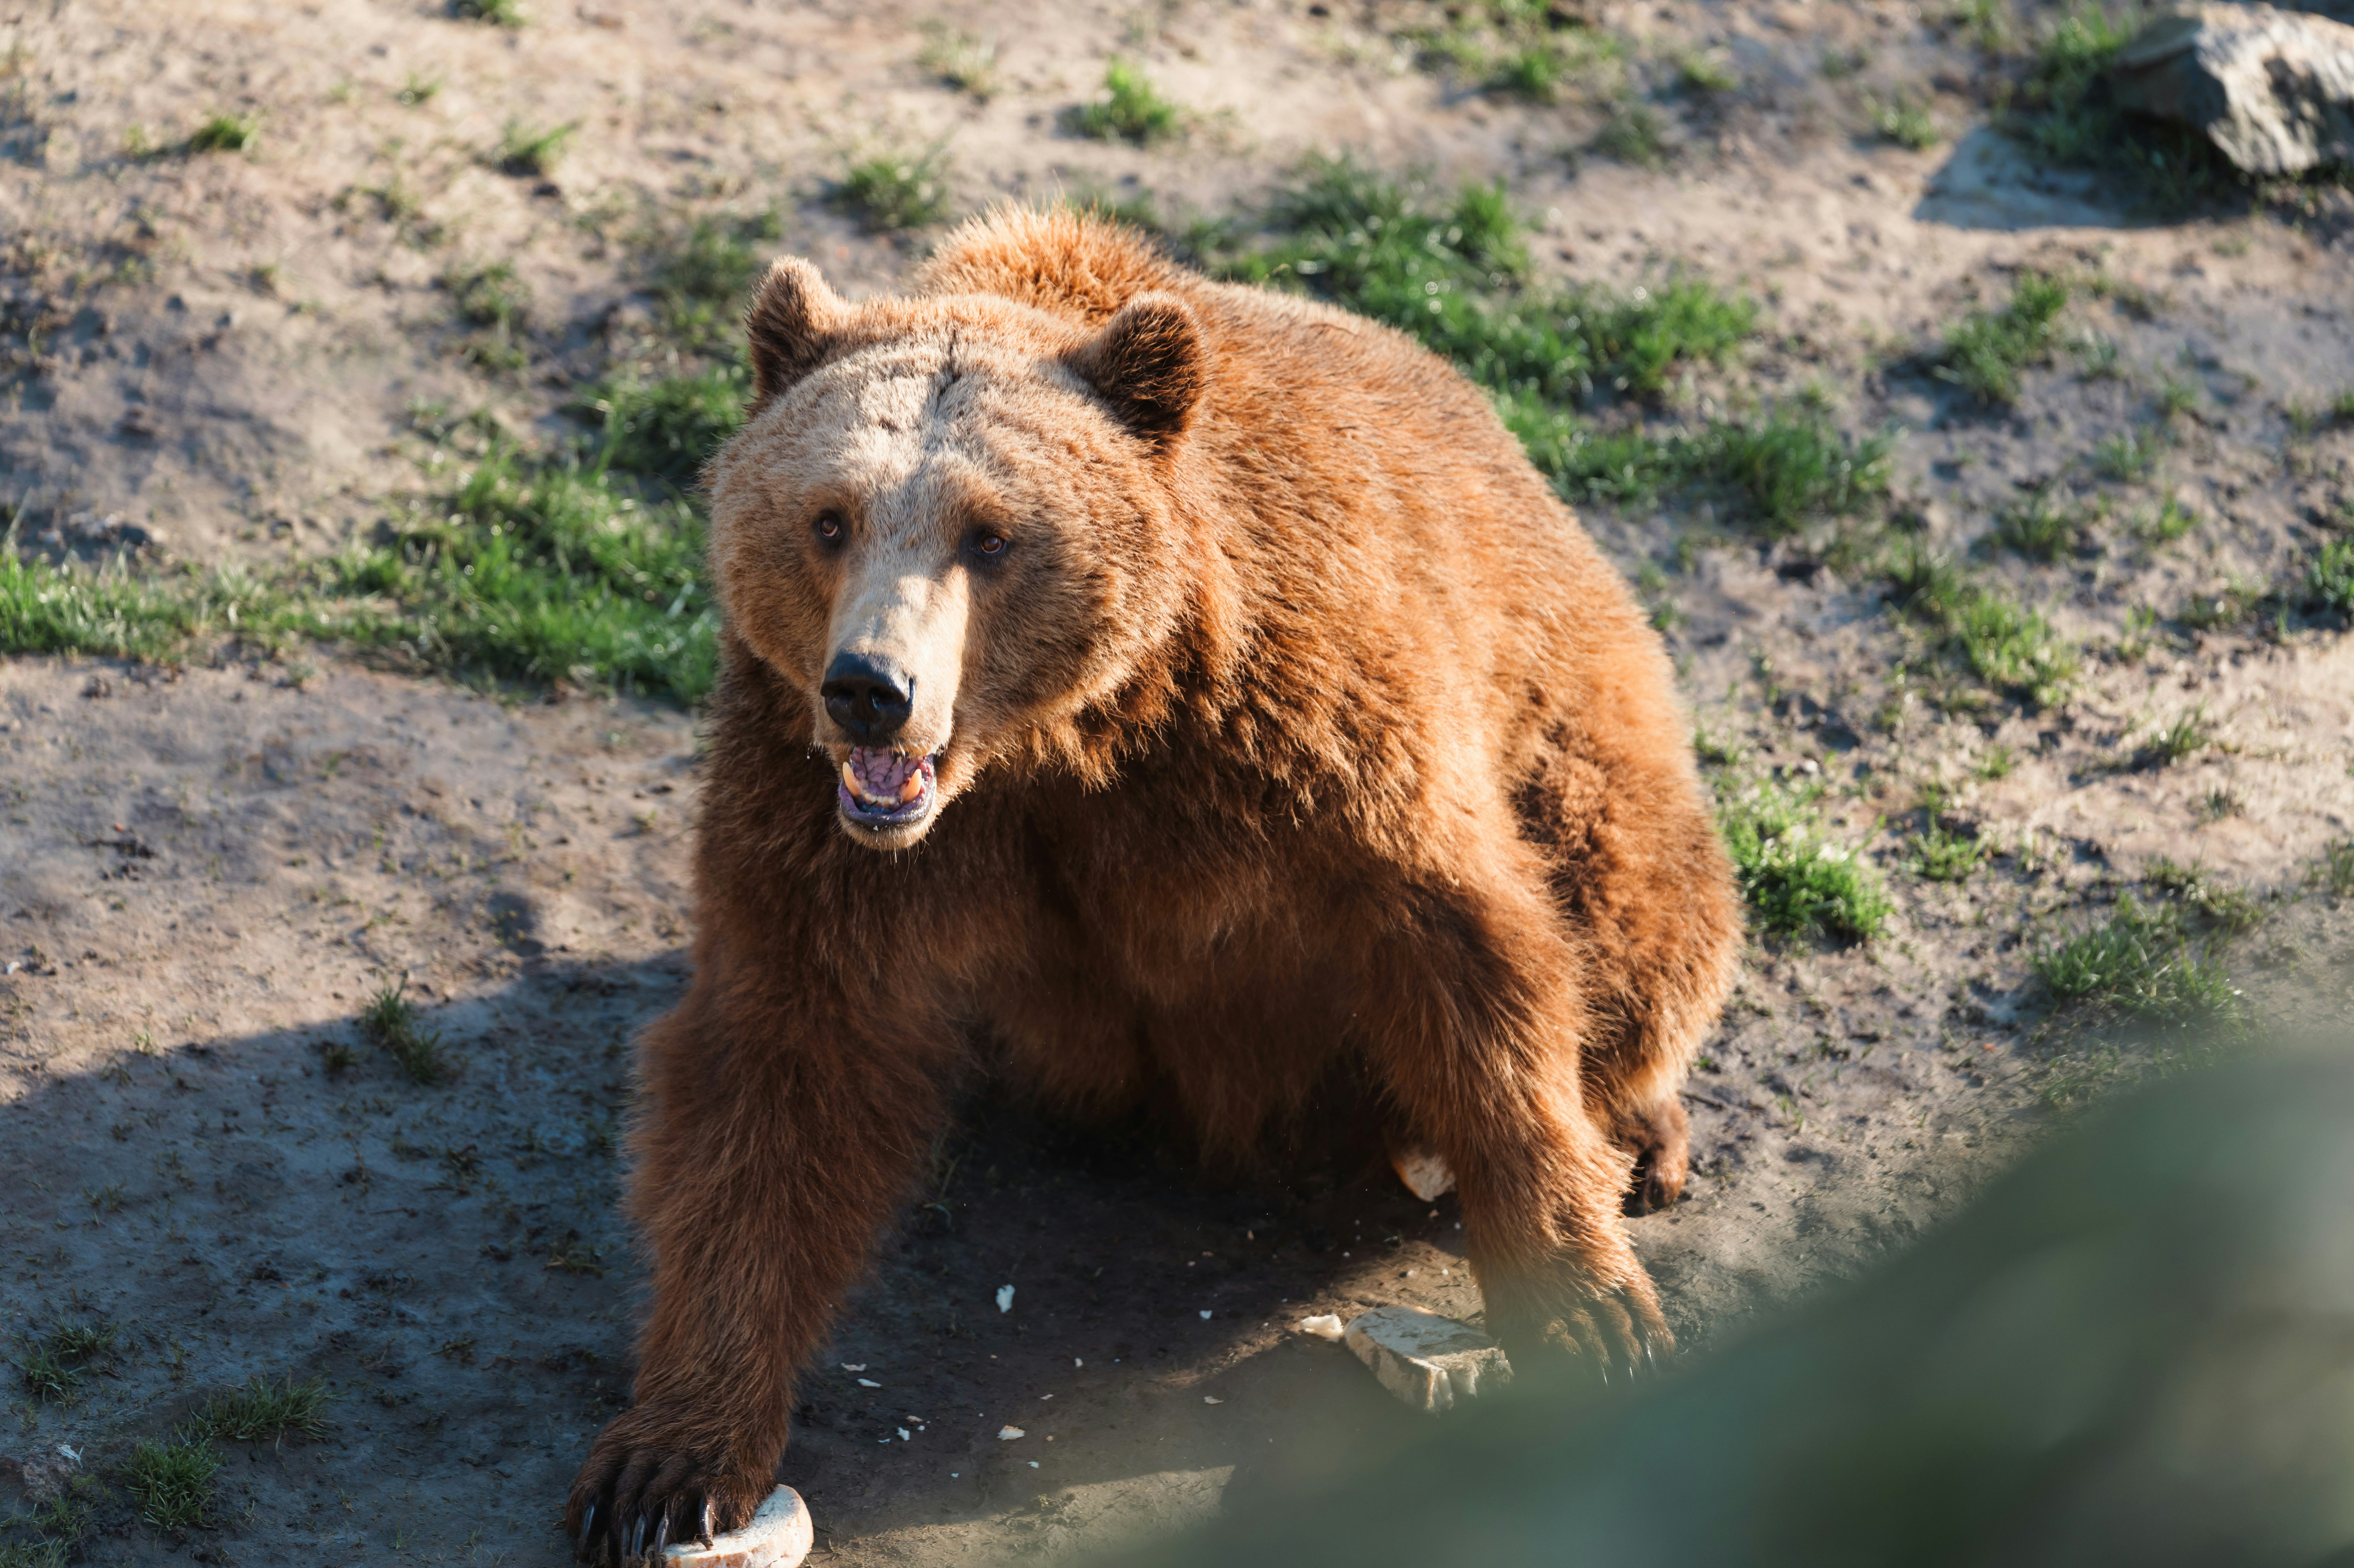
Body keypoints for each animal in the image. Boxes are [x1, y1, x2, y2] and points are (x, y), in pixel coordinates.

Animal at [566, 206, 1741, 1563]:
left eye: (990, 533)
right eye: (828, 517)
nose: (871, 688)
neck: (1060, 741)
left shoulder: (1309, 740)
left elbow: (1464, 959)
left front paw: (1587, 1306)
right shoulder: (812, 809)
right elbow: (777, 1073)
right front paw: (673, 1460)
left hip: (1594, 753)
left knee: (1640, 922)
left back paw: (1644, 1132)